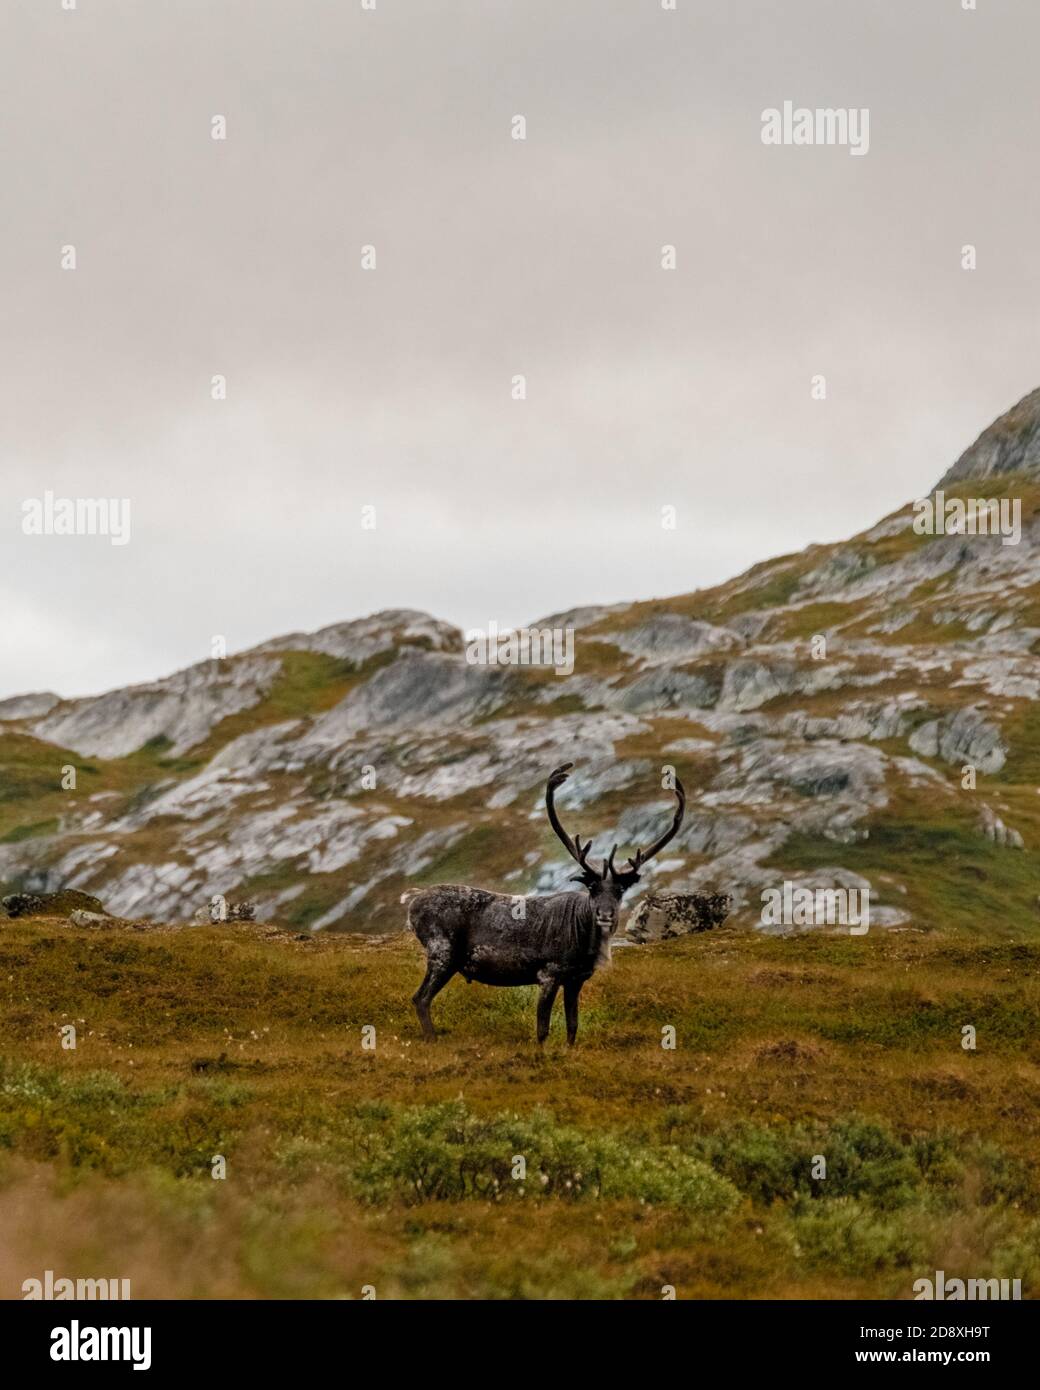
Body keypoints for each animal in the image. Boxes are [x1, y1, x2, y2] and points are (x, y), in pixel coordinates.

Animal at [404, 762, 686, 1044]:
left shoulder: (576, 980)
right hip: (442, 953)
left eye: (620, 889)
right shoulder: (548, 975)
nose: (605, 914)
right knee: (420, 998)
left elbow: (573, 1026)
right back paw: (432, 1039)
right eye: (592, 887)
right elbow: (542, 1028)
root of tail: (413, 900)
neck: (584, 941)